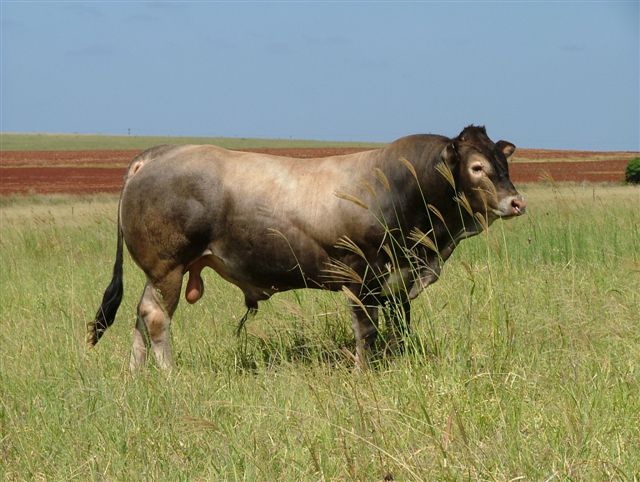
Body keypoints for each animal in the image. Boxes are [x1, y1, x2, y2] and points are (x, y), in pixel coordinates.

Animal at [88, 125, 526, 370]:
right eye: (477, 167)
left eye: (503, 164)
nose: (516, 202)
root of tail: (155, 155)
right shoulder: (361, 278)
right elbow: (366, 332)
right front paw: (363, 372)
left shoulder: (398, 282)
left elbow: (399, 327)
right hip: (169, 267)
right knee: (155, 318)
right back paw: (169, 376)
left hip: (160, 273)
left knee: (140, 316)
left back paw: (136, 377)